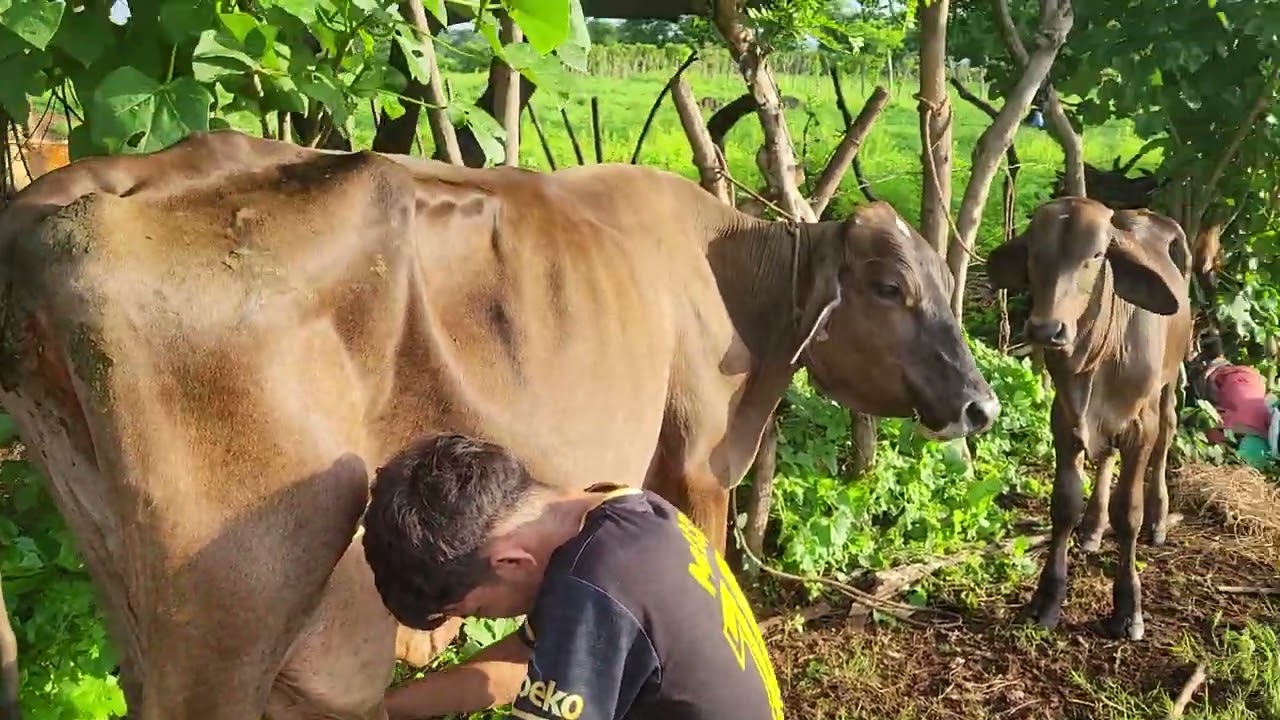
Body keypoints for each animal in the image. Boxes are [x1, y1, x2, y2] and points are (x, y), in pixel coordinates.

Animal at [0, 129, 1000, 719]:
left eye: (942, 284)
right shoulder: (699, 464)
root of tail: (55, 212)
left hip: (125, 573)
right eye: (889, 287)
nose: (981, 404)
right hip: (241, 598)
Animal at [985, 196, 1192, 641]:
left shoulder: (1140, 426)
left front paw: (1128, 608)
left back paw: (1159, 518)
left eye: (1096, 256)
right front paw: (1048, 599)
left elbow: (1128, 514)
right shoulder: (1063, 421)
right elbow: (1064, 506)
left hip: (1168, 384)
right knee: (1106, 458)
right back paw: (1094, 527)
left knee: (1166, 437)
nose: (1046, 329)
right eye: (1034, 251)